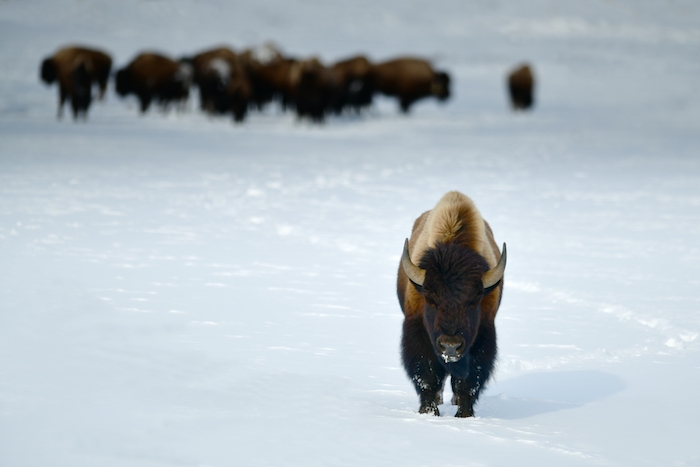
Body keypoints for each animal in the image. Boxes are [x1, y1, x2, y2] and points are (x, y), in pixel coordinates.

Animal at [397, 191, 506, 417]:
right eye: (430, 300)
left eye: (474, 301)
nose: (450, 346)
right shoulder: (417, 330)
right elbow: (427, 374)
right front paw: (428, 411)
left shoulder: (482, 333)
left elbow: (468, 380)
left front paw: (464, 414)